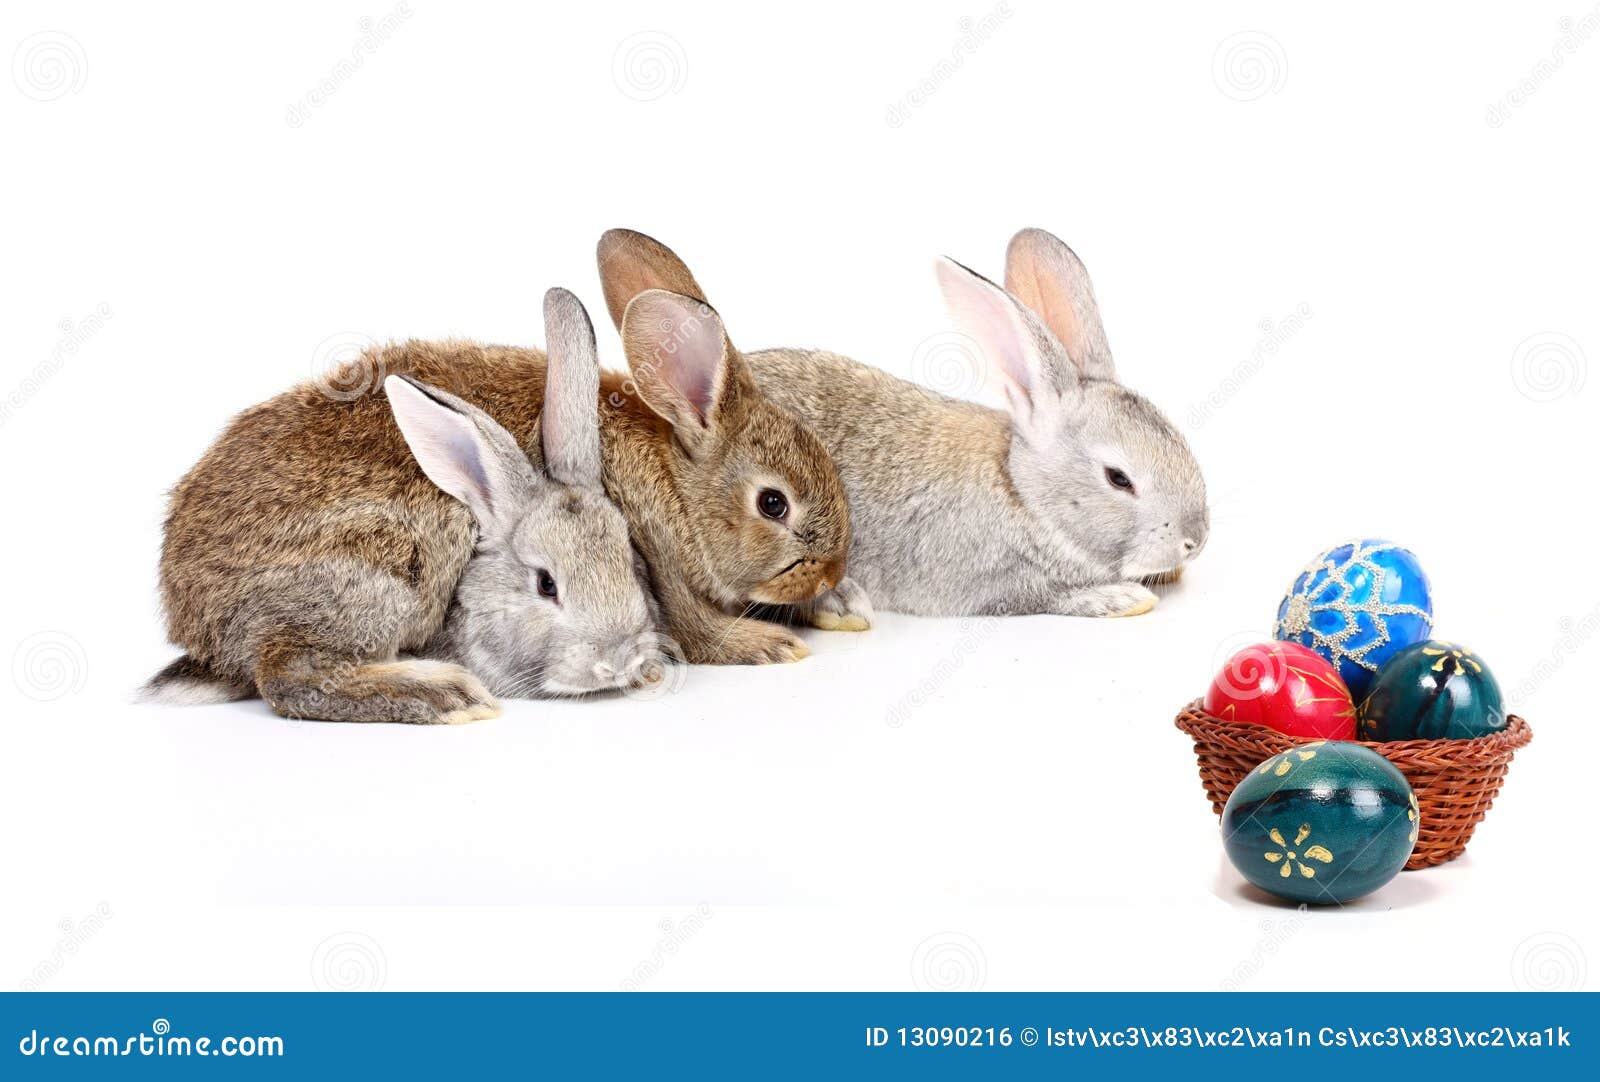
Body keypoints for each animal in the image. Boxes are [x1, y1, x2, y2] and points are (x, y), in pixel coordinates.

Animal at [142, 289, 662, 722]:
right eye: (546, 584)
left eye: (632, 563)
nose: (617, 662)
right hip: (370, 578)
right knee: (293, 677)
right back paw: (449, 696)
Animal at [595, 227, 1208, 621]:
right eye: (1118, 479)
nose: (1195, 542)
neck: (1023, 493)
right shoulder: (985, 581)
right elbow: (1042, 596)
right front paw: (1118, 599)